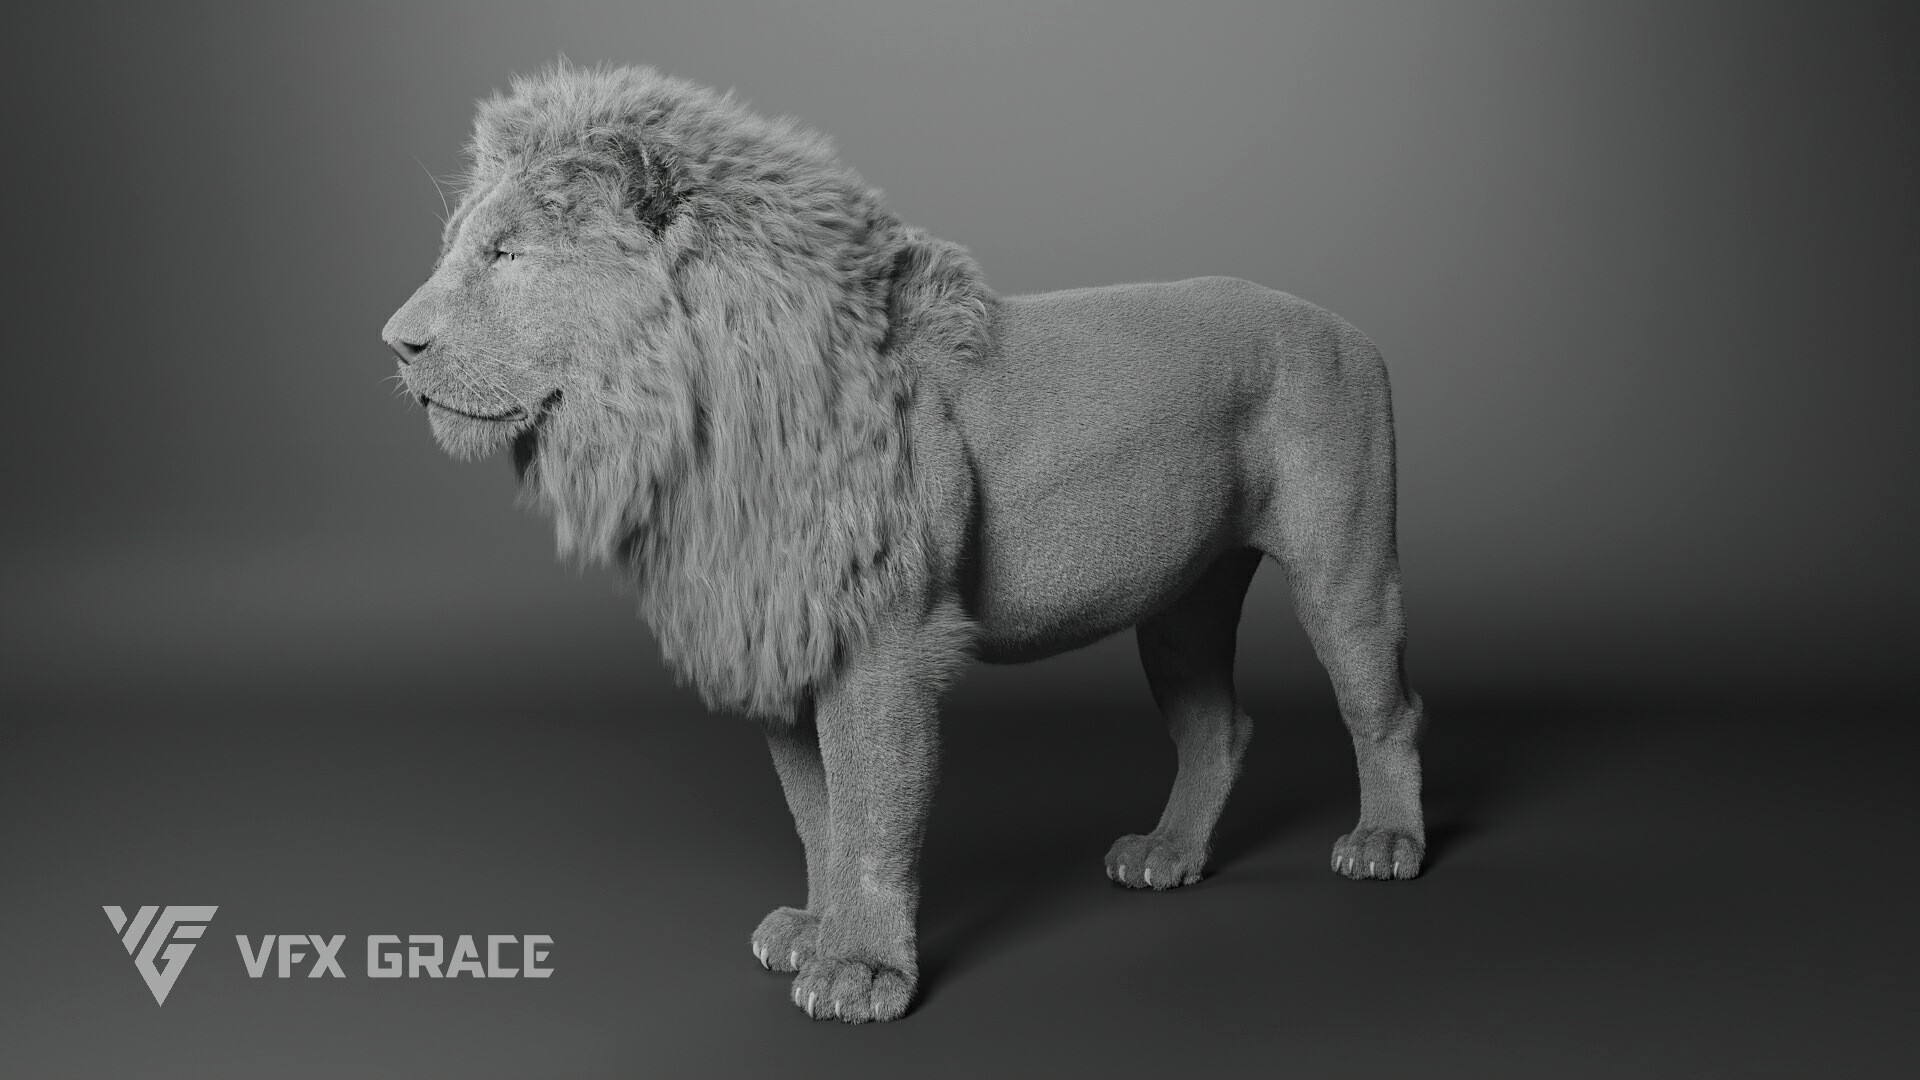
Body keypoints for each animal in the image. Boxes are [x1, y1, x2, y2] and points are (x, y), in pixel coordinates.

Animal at [383, 63, 1427, 1023]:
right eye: (462, 247)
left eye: (508, 253)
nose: (396, 341)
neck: (697, 426)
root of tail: (1351, 329)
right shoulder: (781, 633)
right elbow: (817, 813)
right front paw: (814, 931)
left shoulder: (883, 643)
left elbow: (873, 813)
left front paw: (861, 969)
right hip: (1180, 602)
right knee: (1219, 725)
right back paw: (1166, 856)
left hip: (1343, 572)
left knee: (1386, 707)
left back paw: (1386, 844)